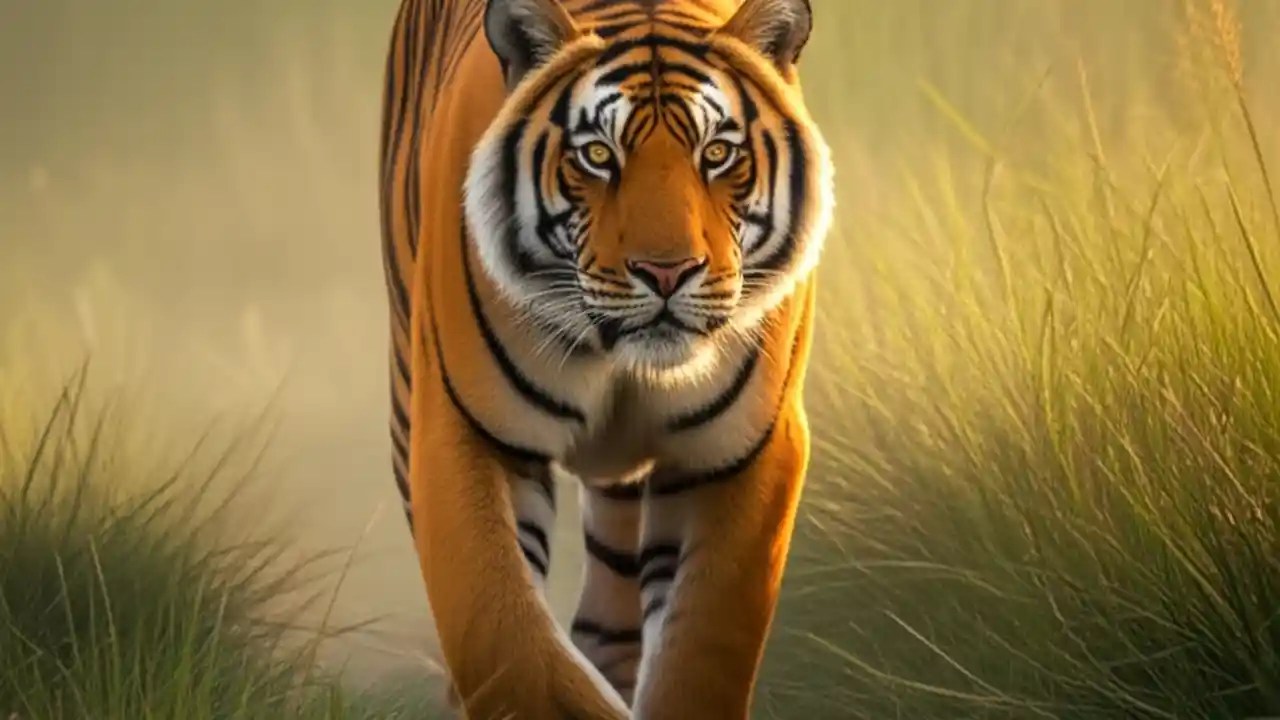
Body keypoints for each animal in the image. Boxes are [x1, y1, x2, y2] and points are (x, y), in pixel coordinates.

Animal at [378, 0, 834, 717]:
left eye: (717, 153)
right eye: (597, 155)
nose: (667, 272)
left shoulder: (745, 447)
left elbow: (700, 652)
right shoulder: (463, 432)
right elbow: (512, 647)